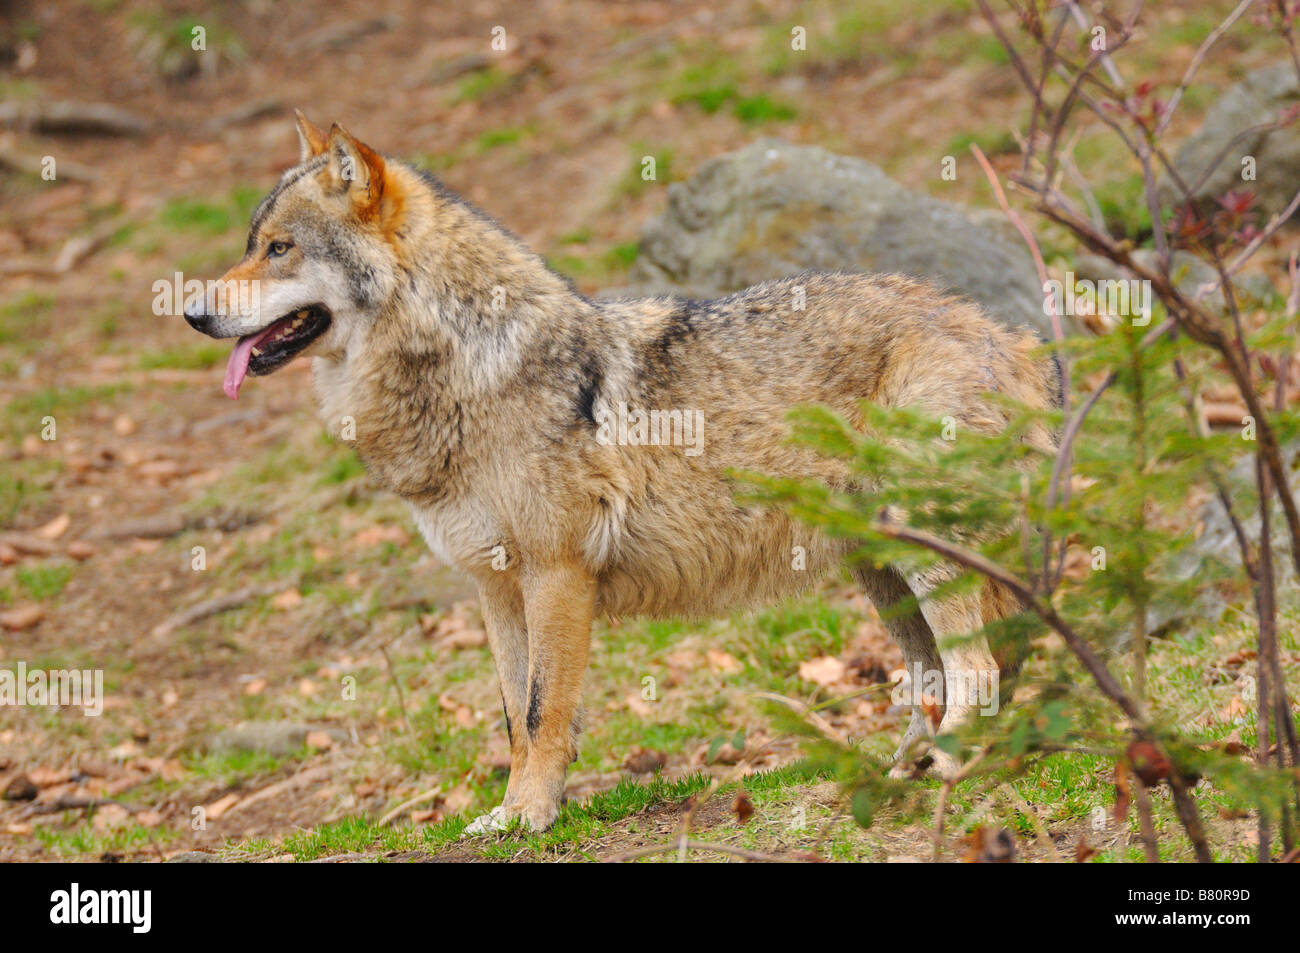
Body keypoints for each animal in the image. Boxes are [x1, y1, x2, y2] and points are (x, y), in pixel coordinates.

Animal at [184, 113, 1059, 832]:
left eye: (279, 248)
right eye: (252, 242)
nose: (191, 310)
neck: (471, 371)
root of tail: (1009, 335)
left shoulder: (557, 572)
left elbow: (543, 711)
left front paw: (530, 816)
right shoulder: (494, 585)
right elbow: (514, 715)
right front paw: (513, 810)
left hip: (922, 552)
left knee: (976, 669)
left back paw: (950, 768)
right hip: (880, 571)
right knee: (935, 677)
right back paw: (899, 774)